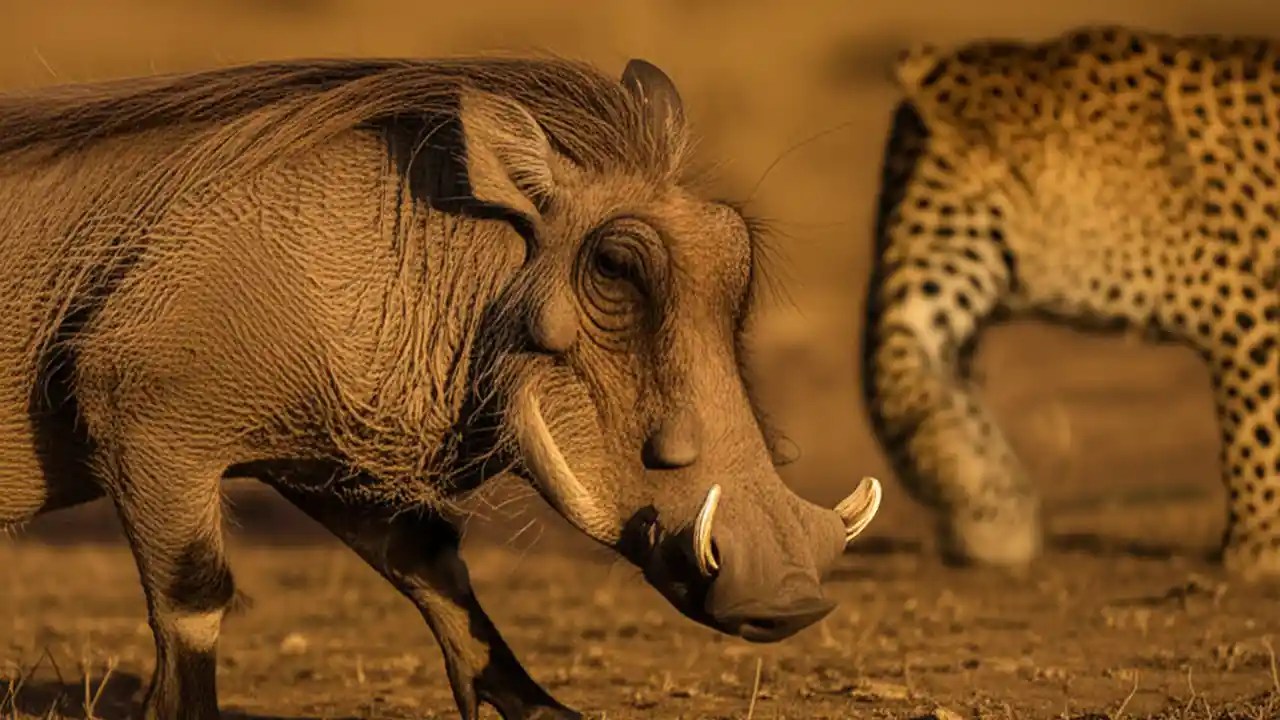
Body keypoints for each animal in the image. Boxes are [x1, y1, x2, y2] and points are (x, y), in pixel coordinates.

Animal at [862, 24, 1280, 581]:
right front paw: (994, 512)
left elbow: (1259, 423)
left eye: (906, 165)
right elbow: (897, 377)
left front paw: (1260, 549)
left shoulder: (1248, 304)